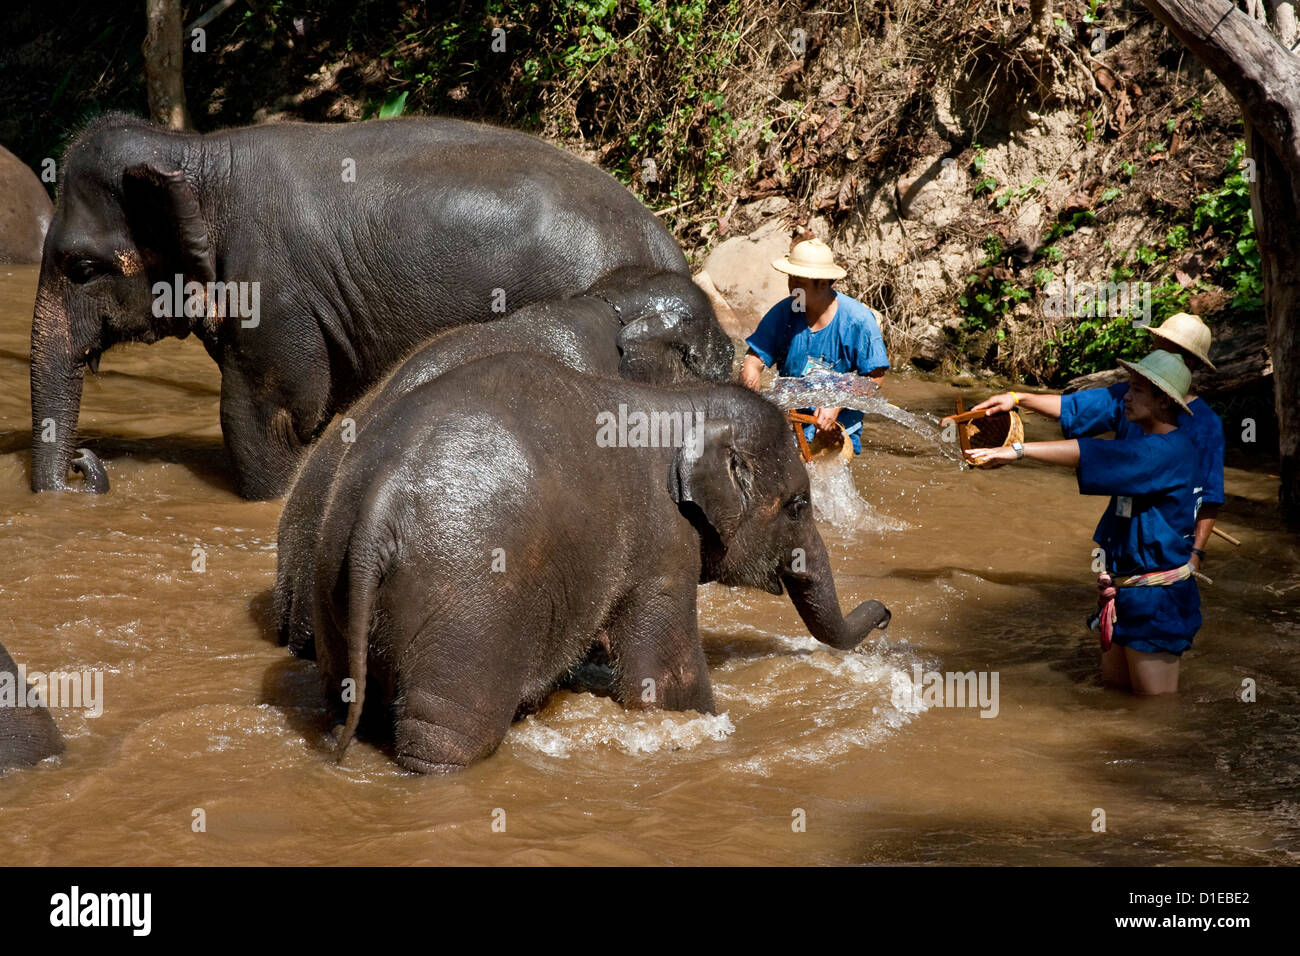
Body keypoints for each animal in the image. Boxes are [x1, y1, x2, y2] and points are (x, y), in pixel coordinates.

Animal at [30, 112, 733, 499]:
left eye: (81, 268)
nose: (86, 464)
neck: (196, 154)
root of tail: (669, 244)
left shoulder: (274, 297)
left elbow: (266, 418)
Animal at [300, 352, 891, 773]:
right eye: (799, 505)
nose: (885, 615)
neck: (680, 403)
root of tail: (381, 503)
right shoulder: (663, 542)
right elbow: (666, 680)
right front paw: (706, 724)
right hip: (467, 615)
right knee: (445, 741)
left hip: (332, 582)